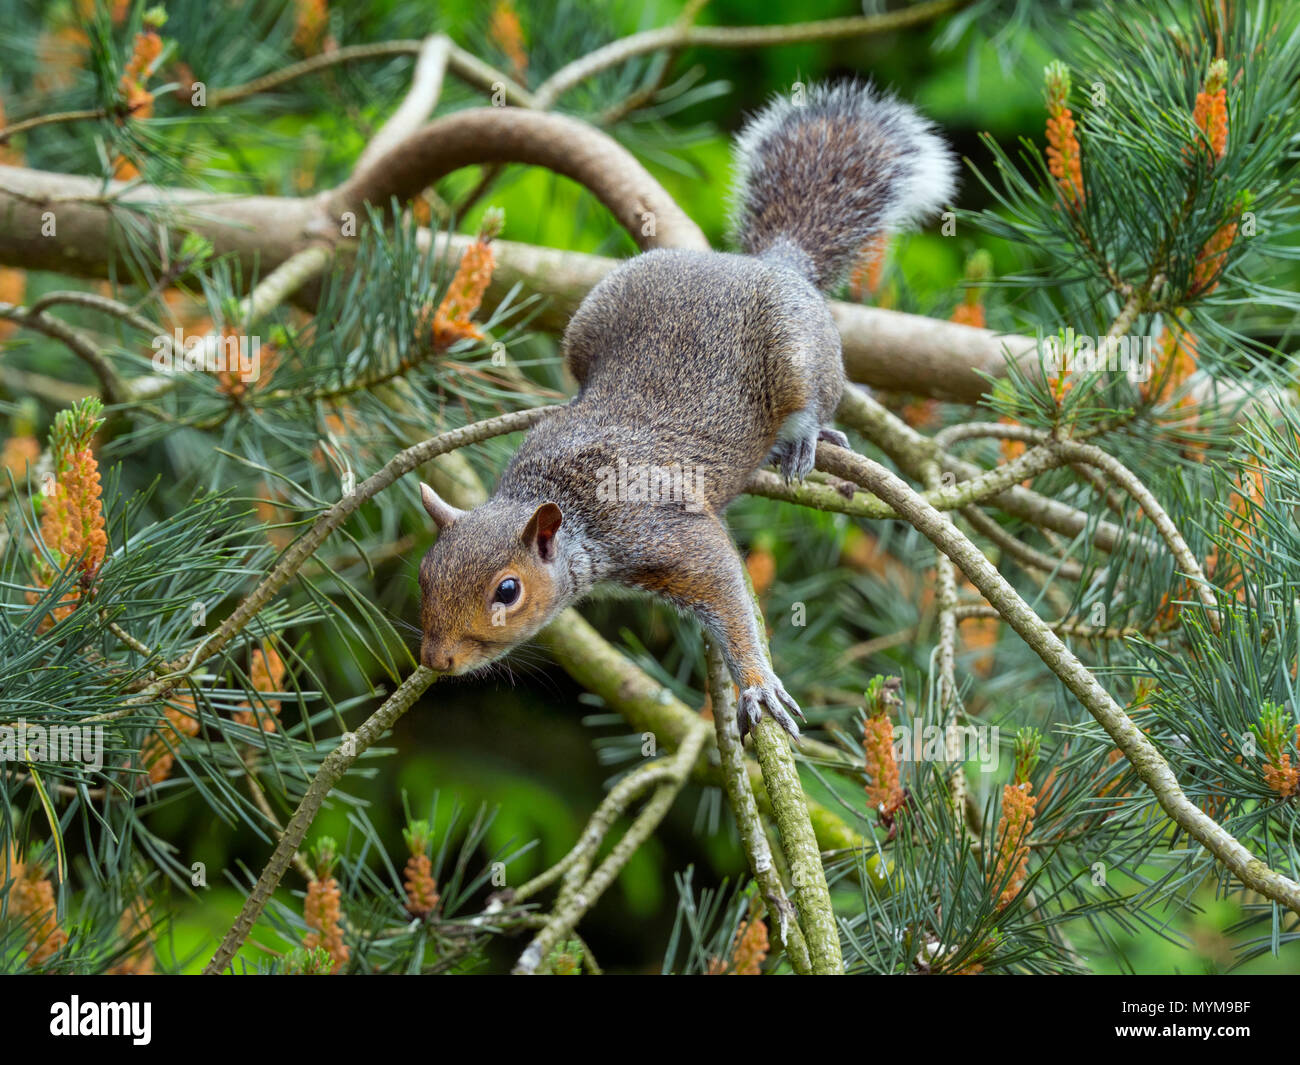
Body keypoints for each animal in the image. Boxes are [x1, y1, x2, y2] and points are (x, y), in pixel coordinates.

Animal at [417, 82, 955, 738]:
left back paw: (804, 439)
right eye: (425, 573)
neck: (564, 501)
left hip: (800, 355)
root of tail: (768, 263)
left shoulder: (666, 531)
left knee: (813, 400)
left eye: (508, 591)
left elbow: (725, 586)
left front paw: (755, 683)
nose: (436, 660)